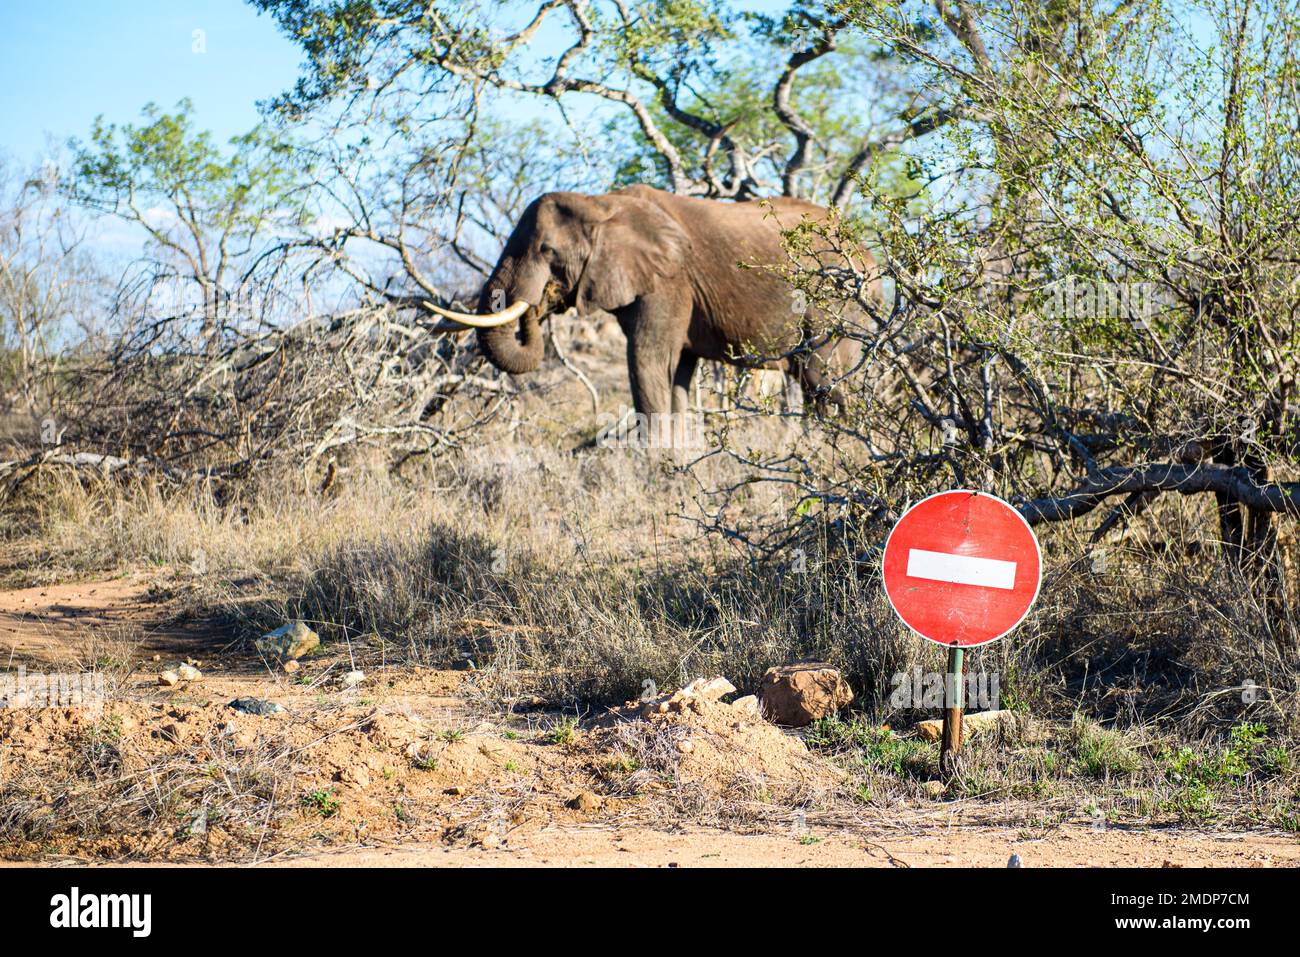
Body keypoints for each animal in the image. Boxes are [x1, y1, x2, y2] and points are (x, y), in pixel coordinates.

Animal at [426, 184, 878, 417]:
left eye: (547, 251)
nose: (537, 304)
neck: (601, 203)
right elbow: (674, 377)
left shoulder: (667, 282)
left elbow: (648, 364)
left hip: (839, 306)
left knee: (826, 381)